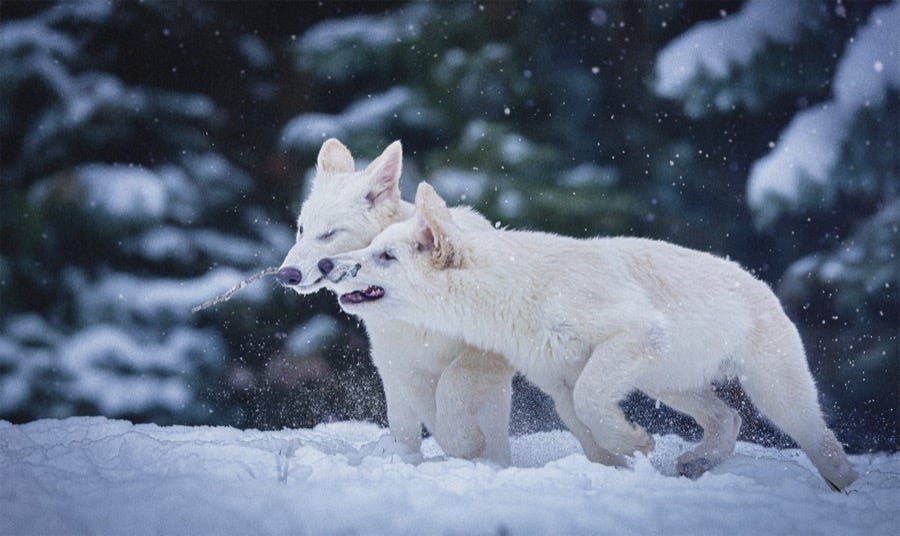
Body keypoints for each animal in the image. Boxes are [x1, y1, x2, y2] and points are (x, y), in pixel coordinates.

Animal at [276, 140, 514, 463]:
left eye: (329, 234)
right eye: (302, 229)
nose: (285, 274)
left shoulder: (486, 354)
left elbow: (452, 384)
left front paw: (465, 445)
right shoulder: (399, 365)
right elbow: (419, 418)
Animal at [320, 182, 858, 491]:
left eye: (385, 256)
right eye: (371, 246)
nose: (329, 265)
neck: (515, 289)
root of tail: (759, 281)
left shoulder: (630, 333)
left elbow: (593, 399)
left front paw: (635, 443)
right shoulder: (556, 379)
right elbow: (582, 422)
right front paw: (619, 464)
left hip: (771, 386)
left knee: (815, 432)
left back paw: (843, 482)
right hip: (668, 382)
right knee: (728, 417)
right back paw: (696, 464)